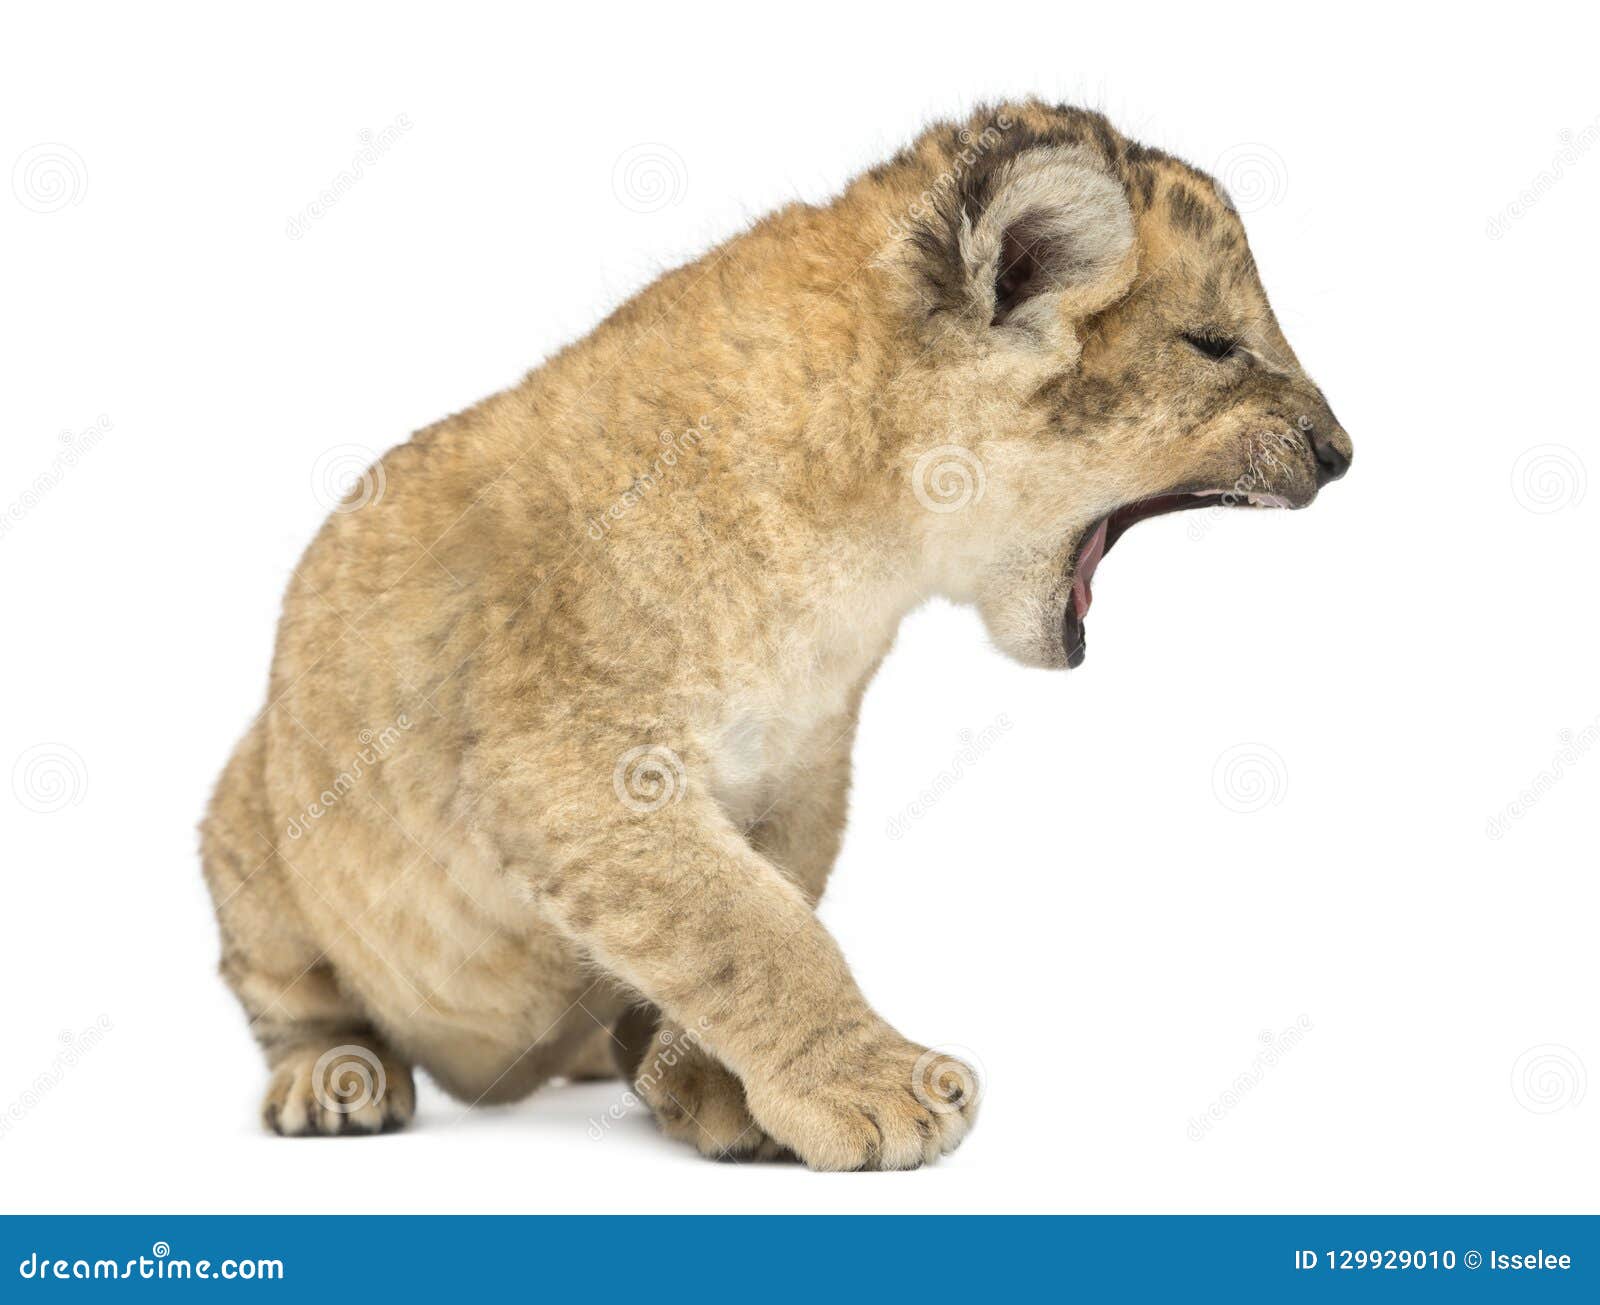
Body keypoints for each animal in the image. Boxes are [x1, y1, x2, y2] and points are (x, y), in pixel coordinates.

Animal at [200, 100, 1351, 1169]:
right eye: (1215, 345)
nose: (1341, 452)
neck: (865, 560)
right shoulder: (574, 759)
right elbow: (746, 932)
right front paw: (877, 1092)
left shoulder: (800, 774)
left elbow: (757, 916)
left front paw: (710, 1084)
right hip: (252, 827)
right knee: (295, 996)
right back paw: (333, 1079)